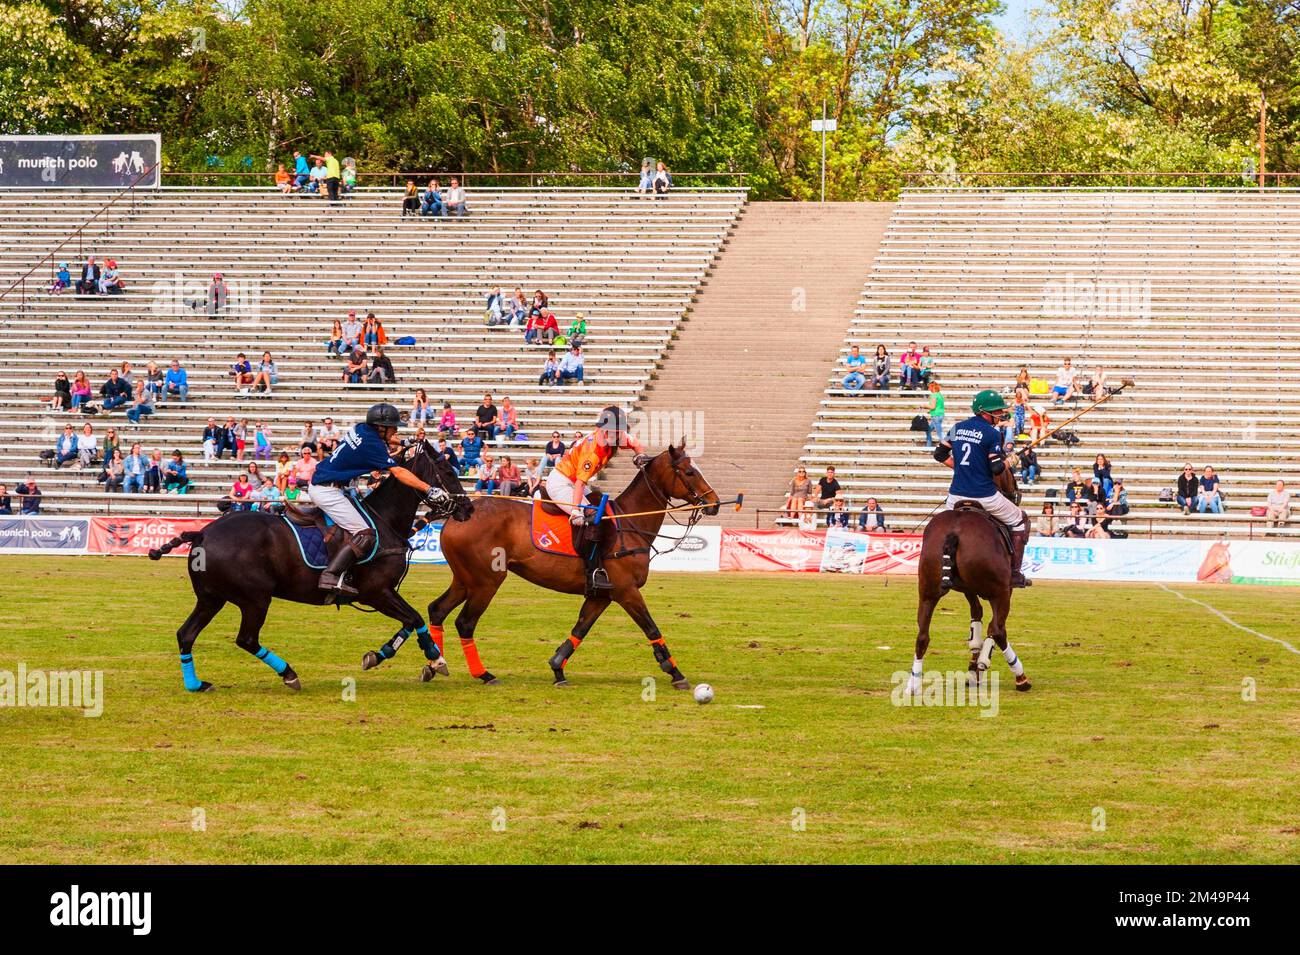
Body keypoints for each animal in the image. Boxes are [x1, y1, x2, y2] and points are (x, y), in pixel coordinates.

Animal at [148, 439, 473, 692]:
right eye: (447, 471)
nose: (468, 508)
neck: (385, 519)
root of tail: (202, 532)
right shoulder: (376, 592)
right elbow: (415, 618)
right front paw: (435, 659)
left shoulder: (382, 594)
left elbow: (408, 622)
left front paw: (379, 655)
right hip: (255, 598)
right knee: (247, 639)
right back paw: (289, 674)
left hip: (211, 598)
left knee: (186, 634)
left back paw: (196, 684)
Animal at [363, 441, 720, 687]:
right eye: (689, 472)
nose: (714, 503)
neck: (628, 524)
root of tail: (453, 515)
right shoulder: (626, 590)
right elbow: (651, 627)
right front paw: (675, 671)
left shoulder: (601, 594)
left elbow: (580, 628)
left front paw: (558, 667)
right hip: (486, 580)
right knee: (464, 622)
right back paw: (482, 673)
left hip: (464, 579)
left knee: (437, 609)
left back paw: (434, 663)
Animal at [909, 460, 1032, 695]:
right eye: (1010, 471)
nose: (1015, 492)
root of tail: (954, 532)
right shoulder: (1004, 591)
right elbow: (993, 627)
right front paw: (982, 666)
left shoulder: (969, 590)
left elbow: (976, 621)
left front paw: (974, 669)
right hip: (1000, 590)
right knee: (998, 629)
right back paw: (1017, 675)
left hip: (927, 591)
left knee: (922, 635)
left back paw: (913, 683)